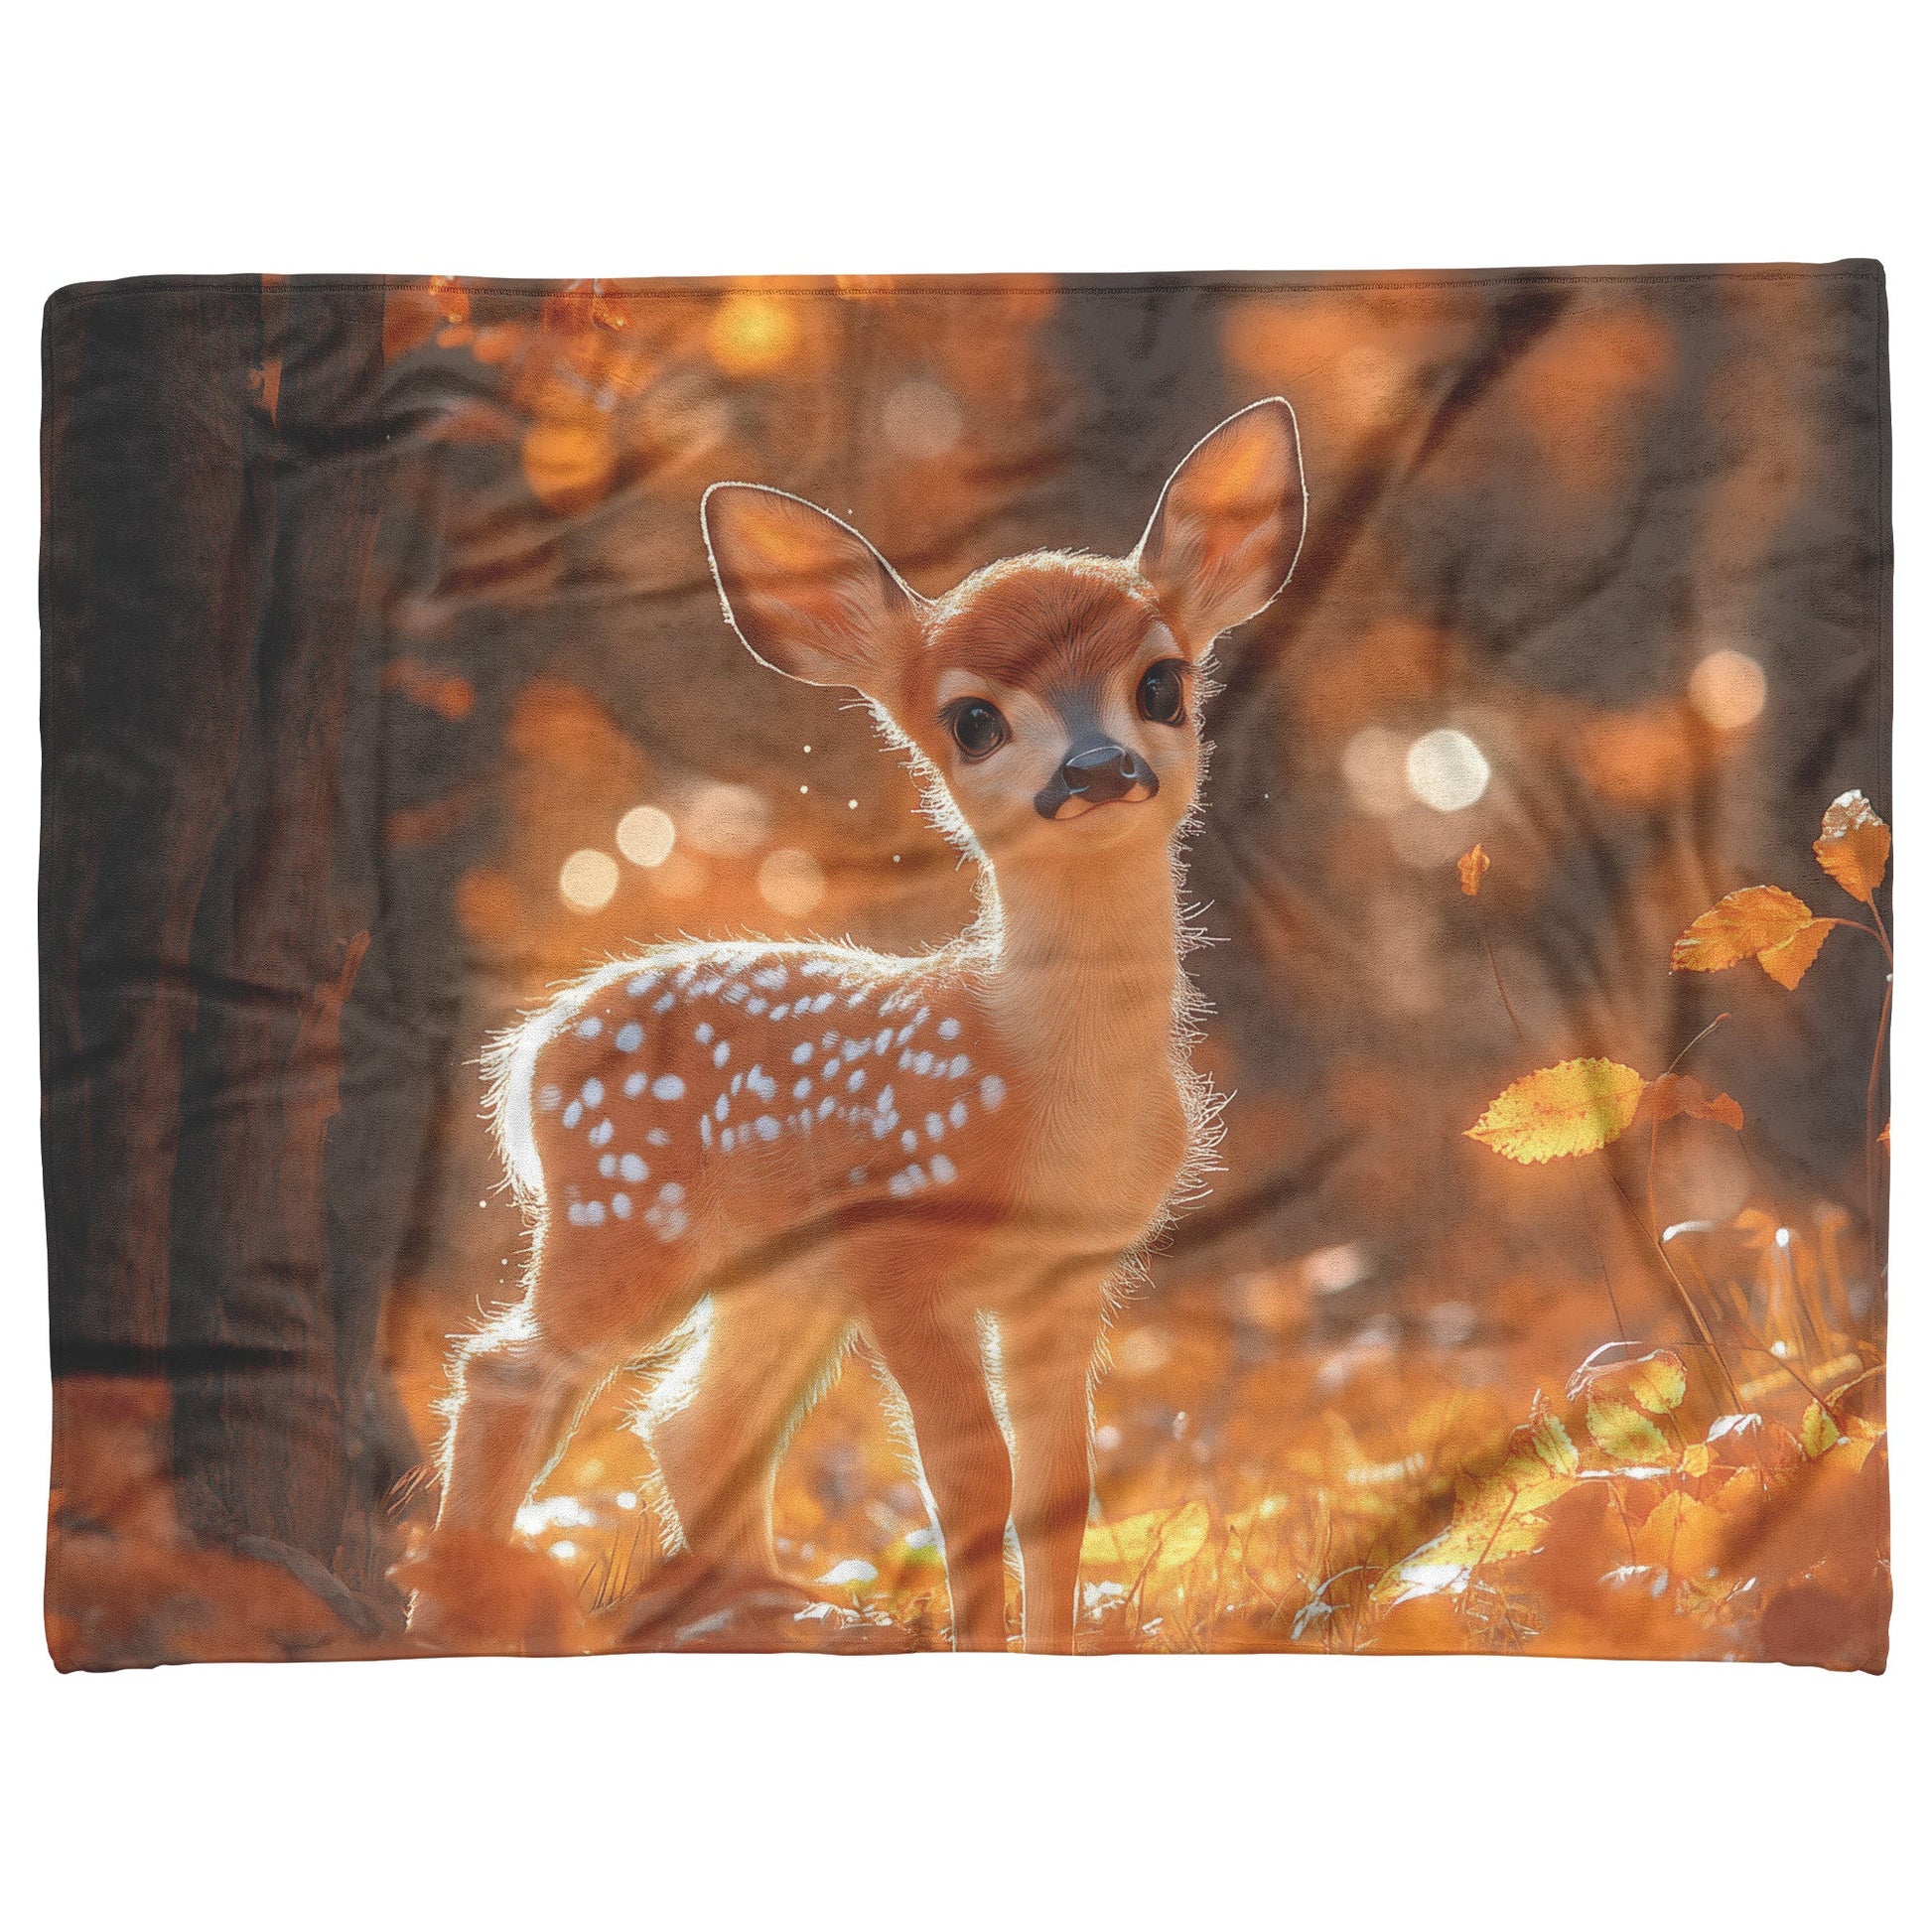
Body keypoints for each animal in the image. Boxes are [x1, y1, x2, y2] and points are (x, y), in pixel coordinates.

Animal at [408, 398, 1306, 1653]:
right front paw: (981, 1649)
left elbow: (1059, 1490)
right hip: (626, 1217)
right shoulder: (901, 1253)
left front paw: (1048, 1649)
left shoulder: (1064, 1275)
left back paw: (759, 1617)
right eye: (972, 720)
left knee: (690, 1418)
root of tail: (531, 1048)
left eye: (1162, 684)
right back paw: (457, 1609)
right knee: (511, 1370)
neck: (1041, 1078)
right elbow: (968, 1479)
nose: (1096, 768)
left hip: (774, 1275)